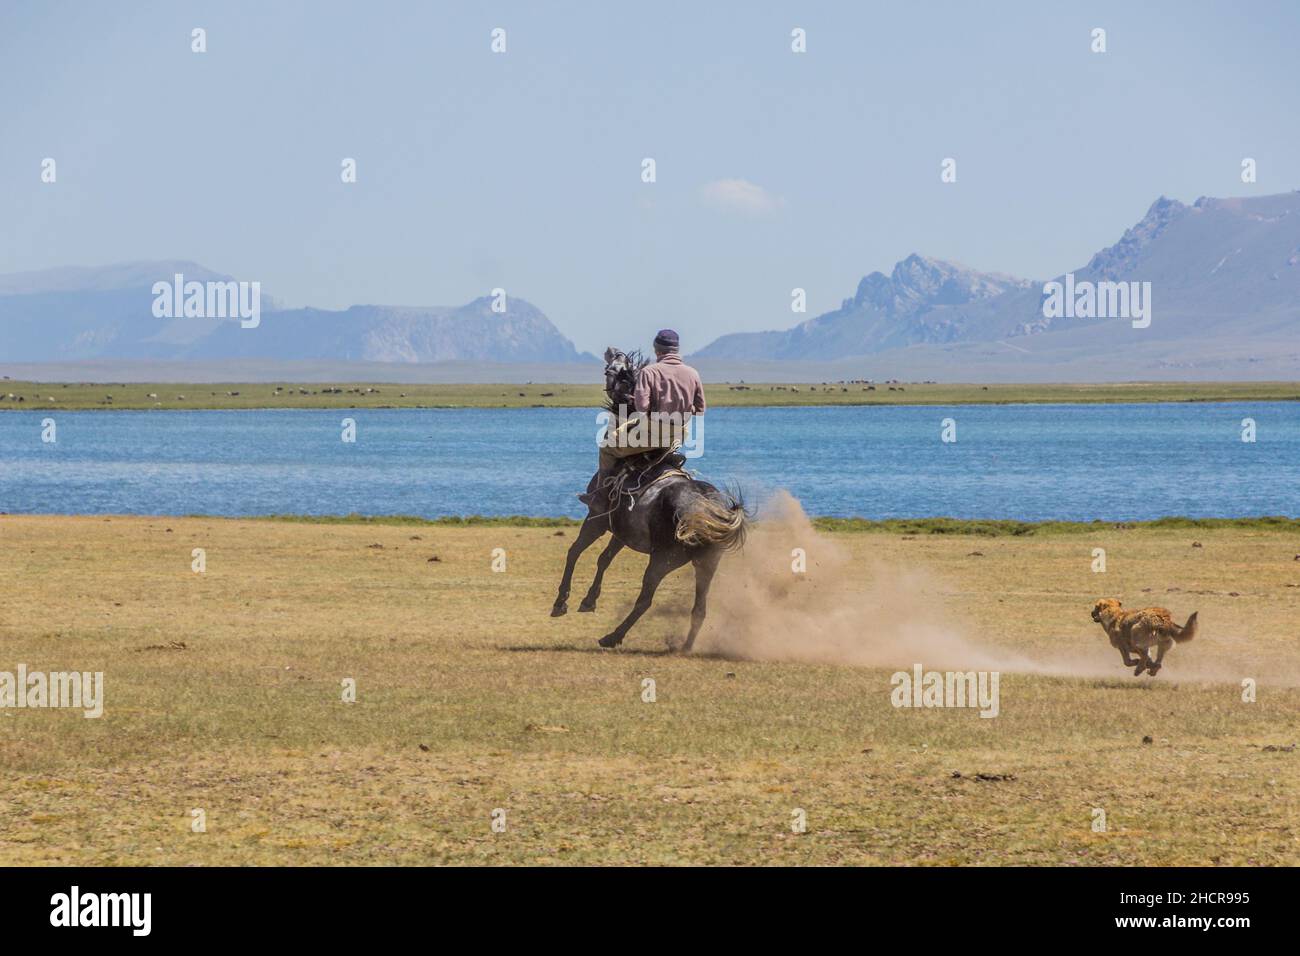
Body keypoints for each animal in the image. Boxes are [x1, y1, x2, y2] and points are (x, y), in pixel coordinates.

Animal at [550, 347, 747, 652]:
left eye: (611, 370)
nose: (609, 355)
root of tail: (706, 508)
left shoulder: (596, 519)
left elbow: (575, 551)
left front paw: (561, 602)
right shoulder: (621, 530)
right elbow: (604, 559)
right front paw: (589, 600)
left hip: (662, 560)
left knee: (645, 600)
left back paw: (612, 637)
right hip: (706, 565)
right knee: (699, 609)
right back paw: (684, 647)